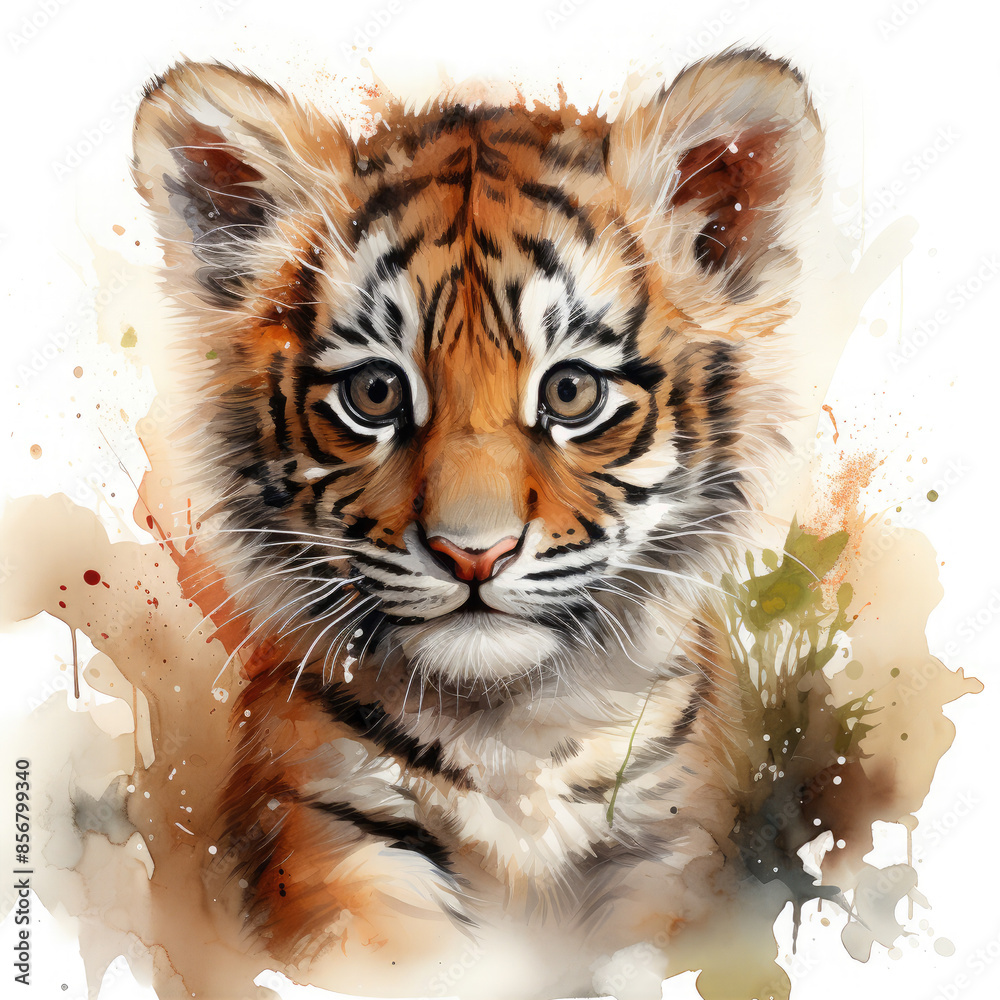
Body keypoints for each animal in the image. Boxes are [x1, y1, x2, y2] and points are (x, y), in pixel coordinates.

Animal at [131, 49, 824, 999]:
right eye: (374, 392)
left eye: (571, 391)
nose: (472, 554)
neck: (512, 739)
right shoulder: (333, 831)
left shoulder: (669, 841)